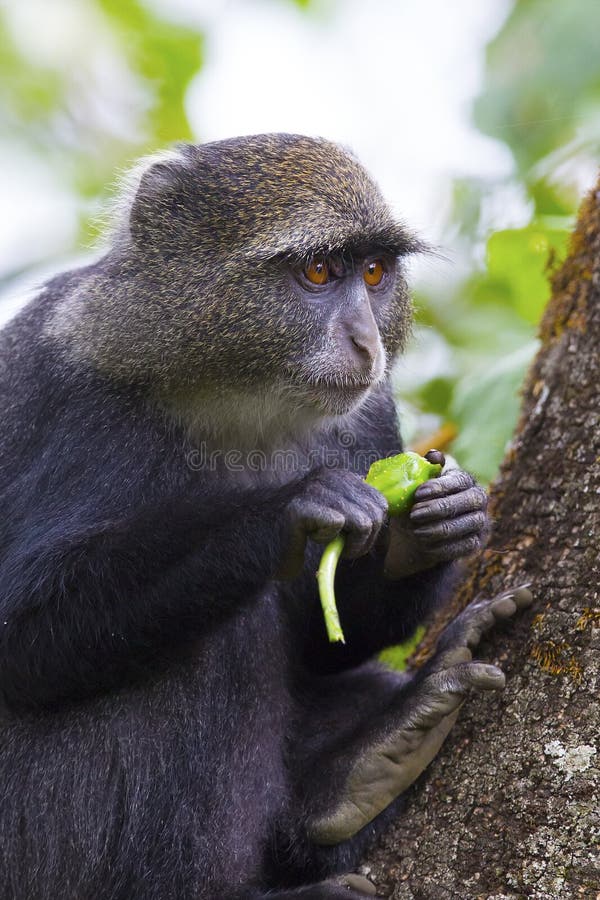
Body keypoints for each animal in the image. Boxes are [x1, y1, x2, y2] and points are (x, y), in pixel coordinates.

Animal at [0, 133, 532, 900]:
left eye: (374, 273)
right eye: (318, 271)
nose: (368, 343)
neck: (236, 394)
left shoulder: (369, 409)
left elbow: (325, 643)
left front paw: (432, 524)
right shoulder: (69, 393)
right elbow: (21, 636)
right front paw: (292, 510)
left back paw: (360, 772)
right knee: (210, 638)